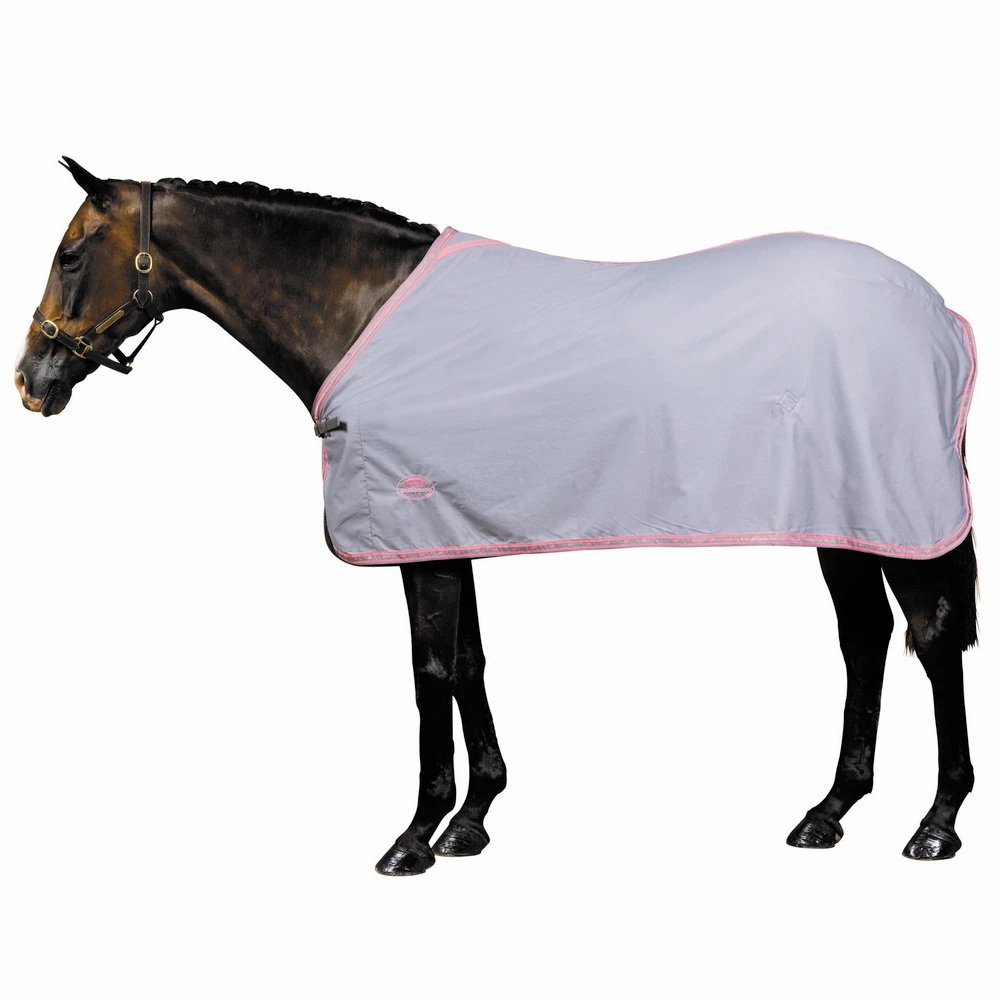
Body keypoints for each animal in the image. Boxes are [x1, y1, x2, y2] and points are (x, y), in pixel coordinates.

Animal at [16, 159, 978, 874]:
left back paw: (936, 824)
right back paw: (829, 811)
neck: (363, 310)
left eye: (71, 255)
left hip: (896, 507)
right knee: (866, 638)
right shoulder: (448, 527)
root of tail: (940, 311)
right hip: (846, 516)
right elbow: (468, 663)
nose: (32, 380)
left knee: (930, 639)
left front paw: (415, 836)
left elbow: (430, 671)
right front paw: (474, 819)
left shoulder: (414, 535)